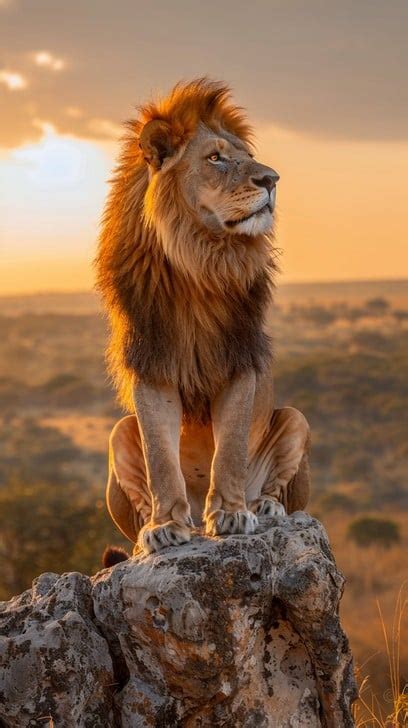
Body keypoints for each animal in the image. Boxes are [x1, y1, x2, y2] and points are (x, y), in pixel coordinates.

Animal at [96, 78, 311, 558]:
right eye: (215, 158)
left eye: (249, 156)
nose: (272, 179)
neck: (200, 261)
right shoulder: (153, 367)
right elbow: (160, 457)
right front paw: (163, 526)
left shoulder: (239, 361)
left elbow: (229, 449)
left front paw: (232, 514)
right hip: (118, 432)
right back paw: (152, 530)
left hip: (295, 419)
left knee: (277, 487)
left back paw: (265, 507)